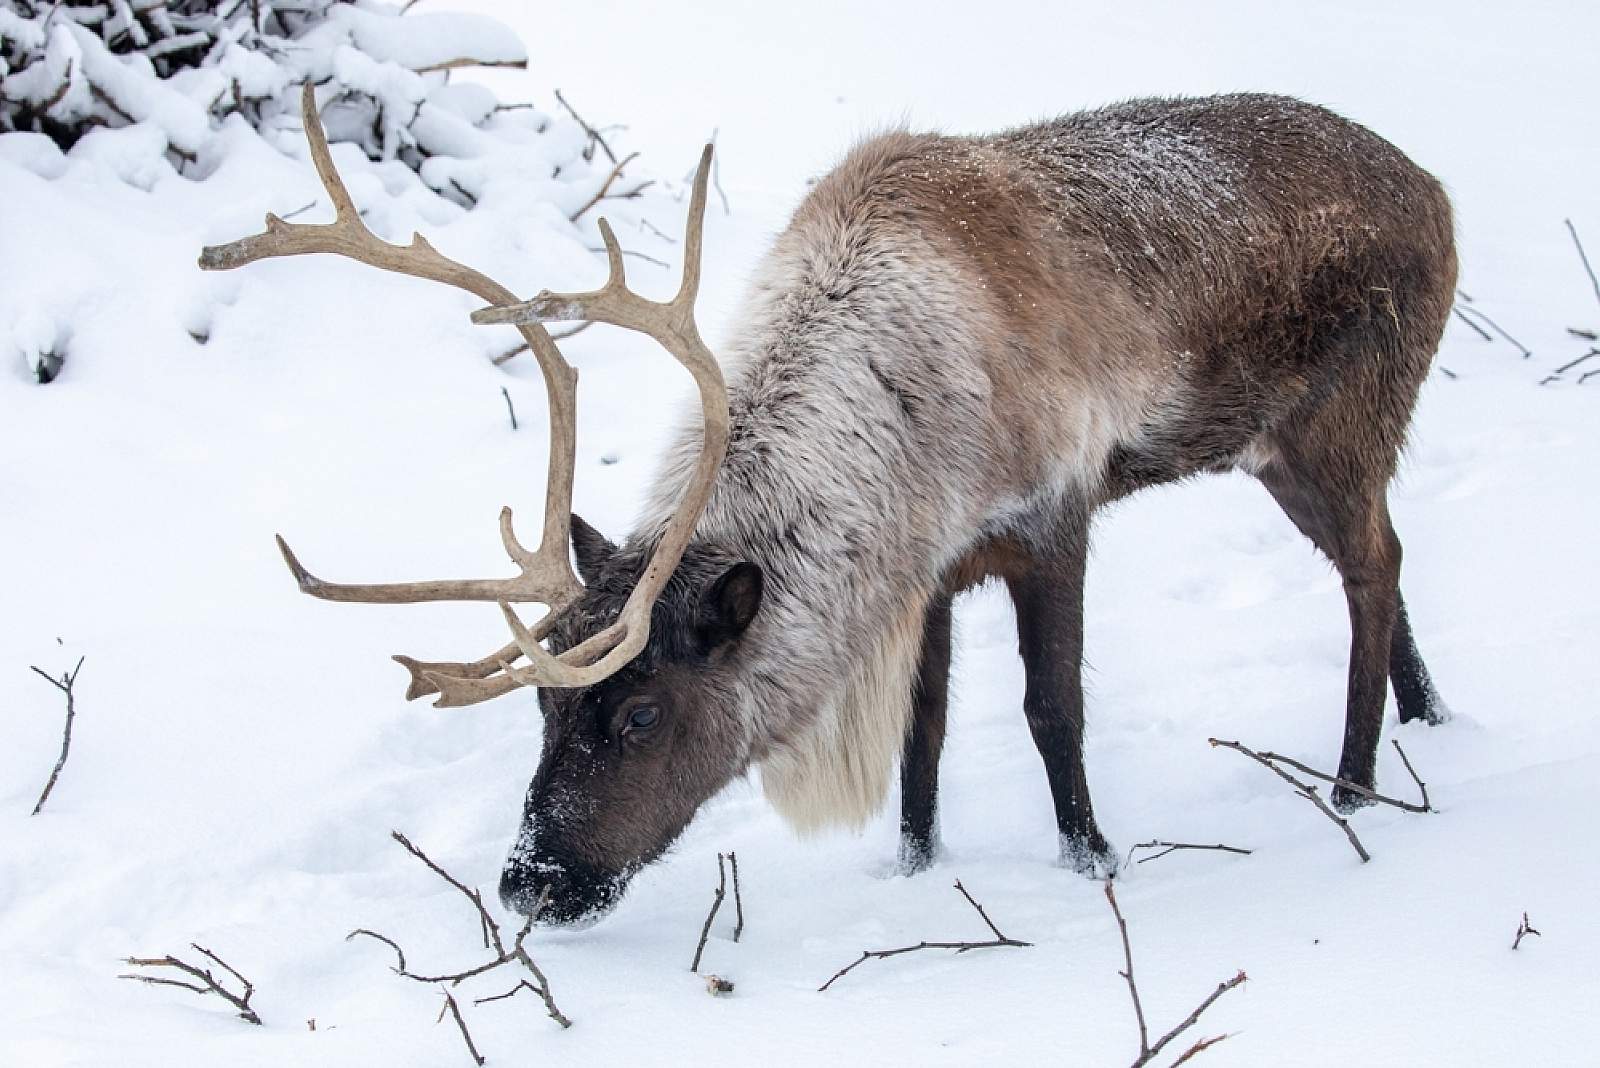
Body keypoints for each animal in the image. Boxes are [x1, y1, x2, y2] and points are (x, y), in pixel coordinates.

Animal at [203, 86, 1455, 926]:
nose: (528, 885)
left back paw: (1352, 788)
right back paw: (1430, 723)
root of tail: (1437, 191)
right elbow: (923, 732)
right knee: (1388, 561)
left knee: (1373, 564)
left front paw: (1092, 862)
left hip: (1335, 421)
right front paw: (912, 868)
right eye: (546, 709)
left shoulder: (1052, 513)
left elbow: (1052, 711)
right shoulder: (925, 566)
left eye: (643, 713)